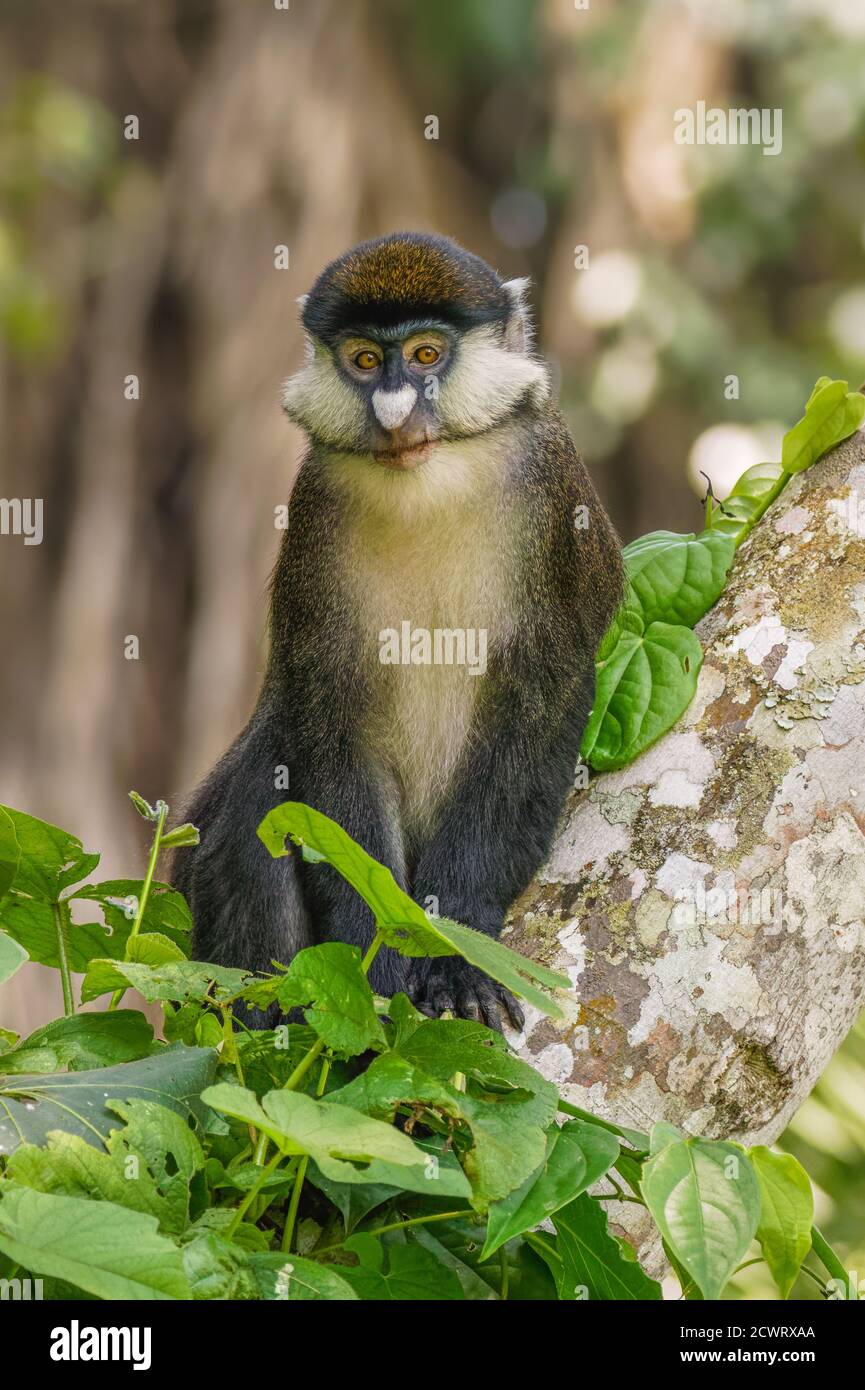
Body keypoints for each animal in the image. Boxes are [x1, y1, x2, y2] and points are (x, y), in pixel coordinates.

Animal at [172, 231, 624, 1031]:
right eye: (362, 360)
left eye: (423, 355)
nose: (391, 411)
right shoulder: (313, 515)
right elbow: (328, 737)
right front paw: (375, 975)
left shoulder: (556, 500)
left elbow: (538, 707)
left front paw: (457, 955)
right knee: (261, 791)